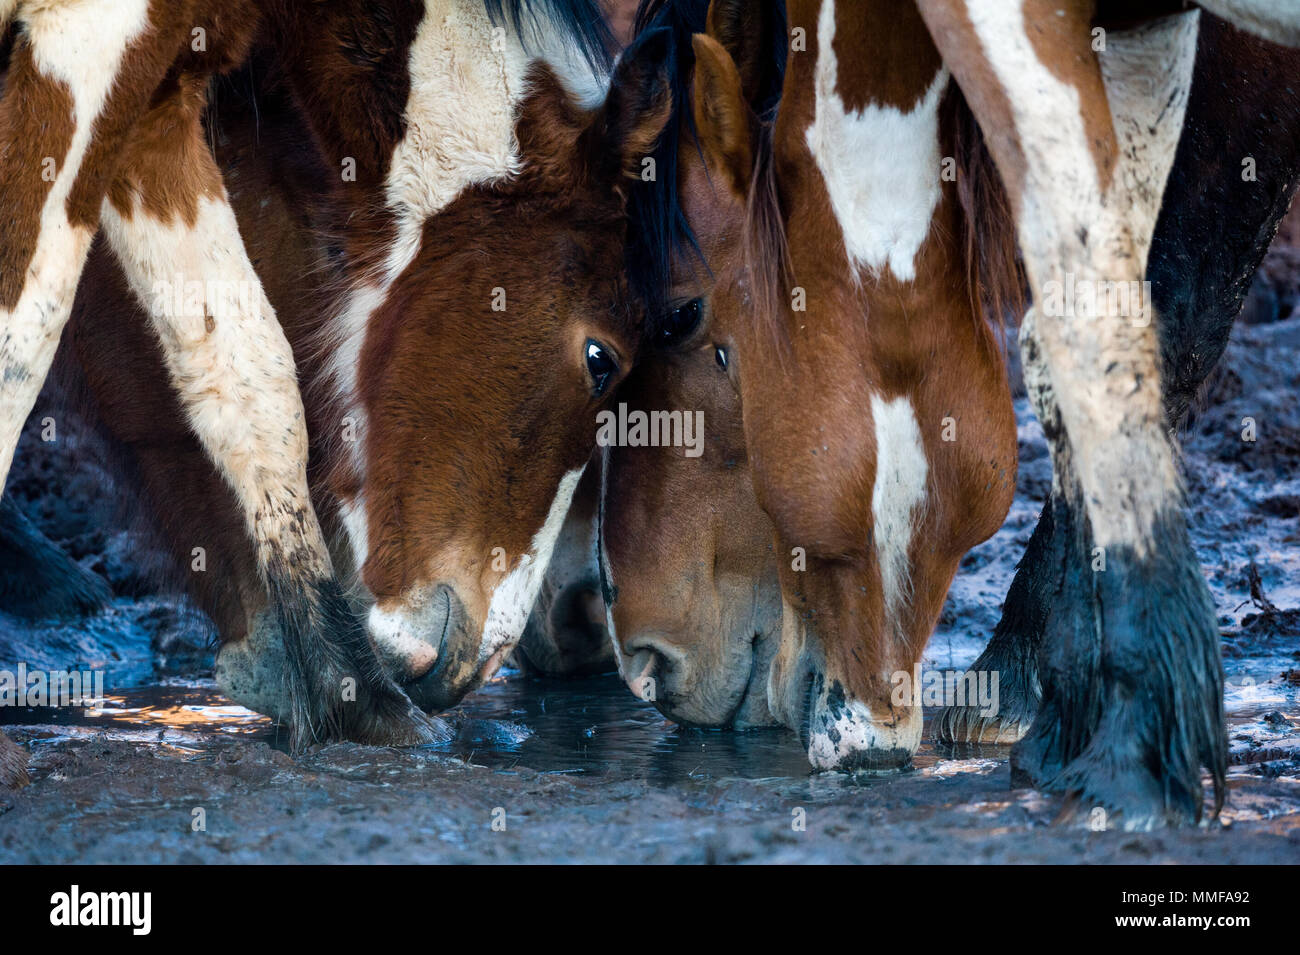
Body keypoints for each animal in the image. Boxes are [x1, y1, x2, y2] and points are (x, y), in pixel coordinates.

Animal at [0, 0, 674, 754]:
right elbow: (22, 340)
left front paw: (348, 693)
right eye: (600, 359)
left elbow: (251, 377)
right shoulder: (88, 36)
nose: (466, 665)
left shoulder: (158, 96)